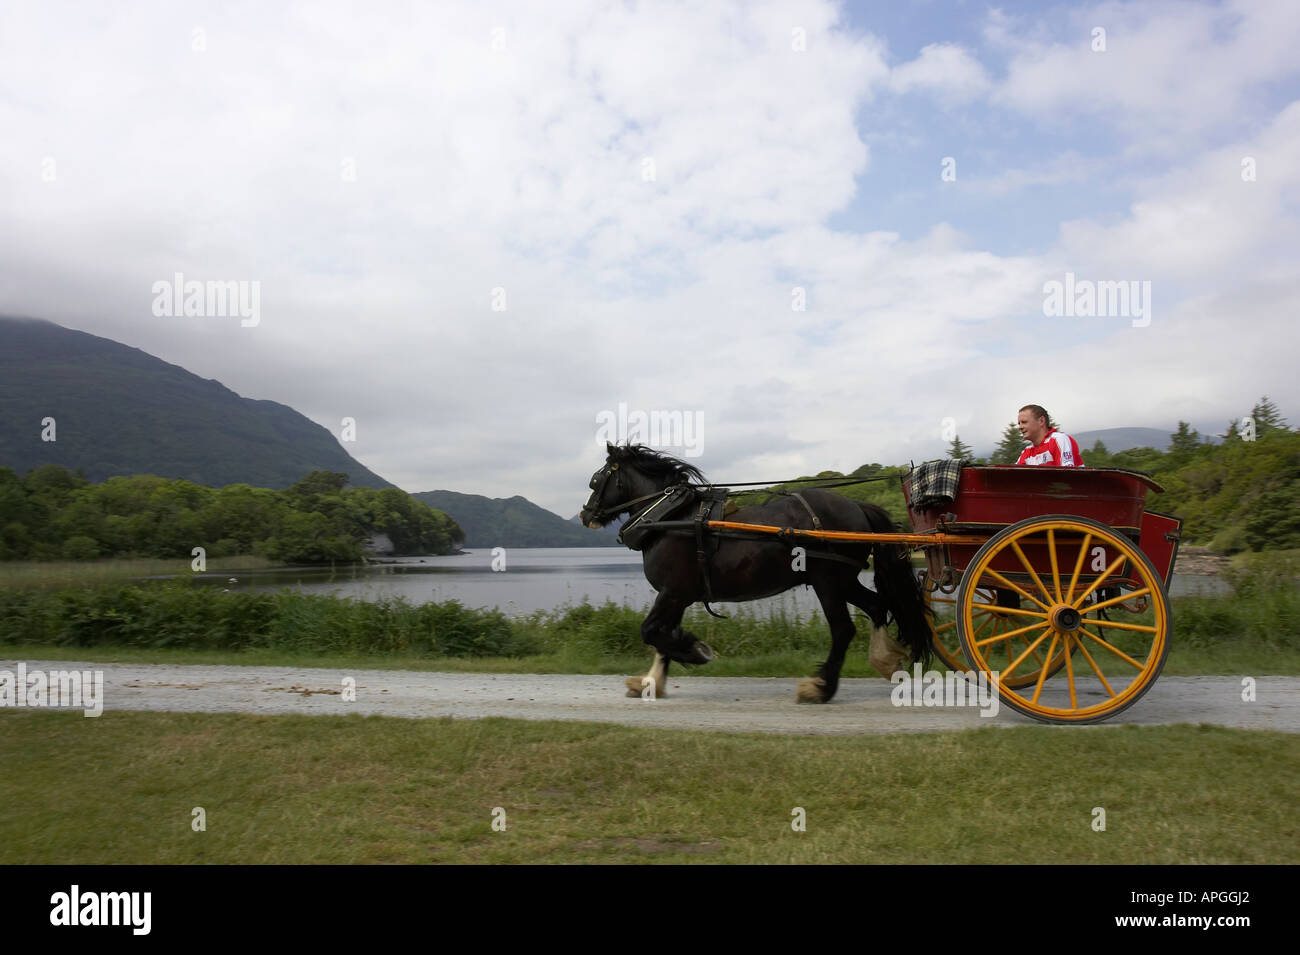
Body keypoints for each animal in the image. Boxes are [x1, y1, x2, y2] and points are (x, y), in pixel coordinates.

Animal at [578, 443, 932, 703]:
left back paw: (821, 688)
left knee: (843, 629)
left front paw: (694, 651)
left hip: (827, 580)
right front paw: (652, 681)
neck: (668, 517)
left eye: (596, 479)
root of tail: (857, 506)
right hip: (843, 580)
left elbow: (651, 632)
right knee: (877, 606)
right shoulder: (677, 595)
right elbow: (661, 636)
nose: (585, 514)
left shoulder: (673, 592)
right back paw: (885, 660)